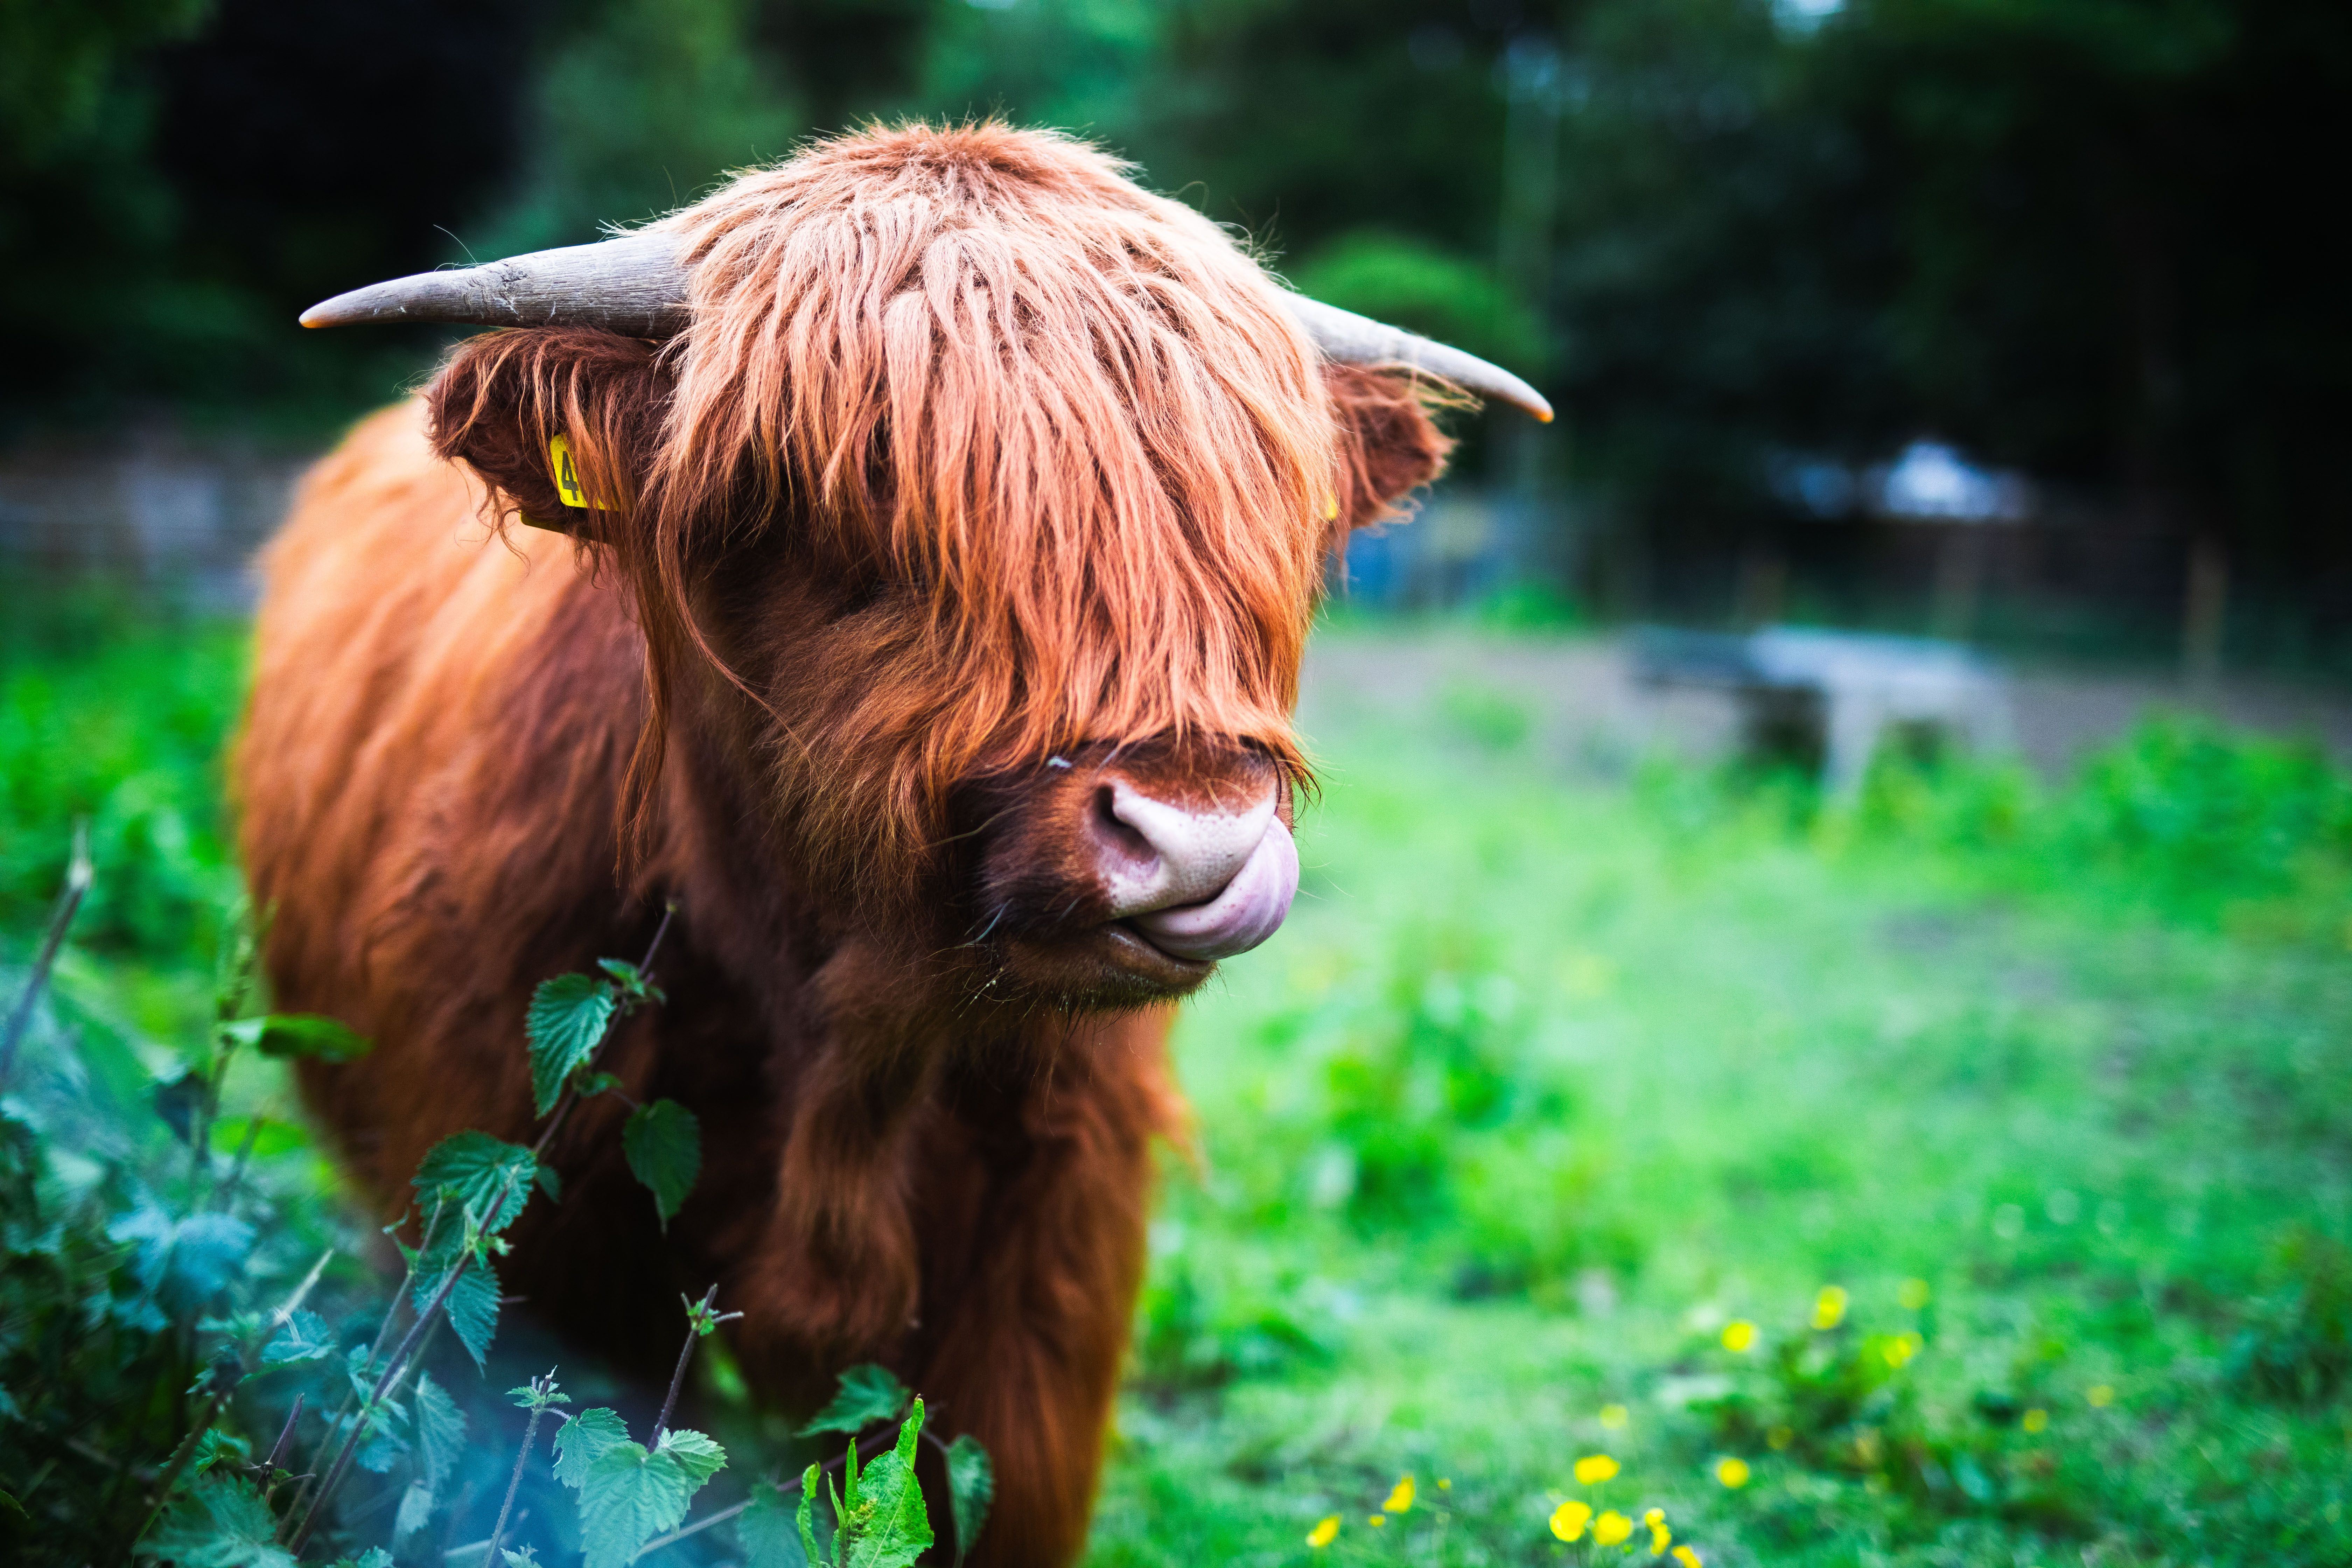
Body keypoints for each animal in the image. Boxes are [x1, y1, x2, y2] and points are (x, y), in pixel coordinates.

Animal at [236, 122, 1547, 1565]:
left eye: (1264, 523)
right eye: (844, 501)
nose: (1194, 837)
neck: (849, 1051)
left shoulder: (1046, 1262)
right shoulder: (528, 1226)